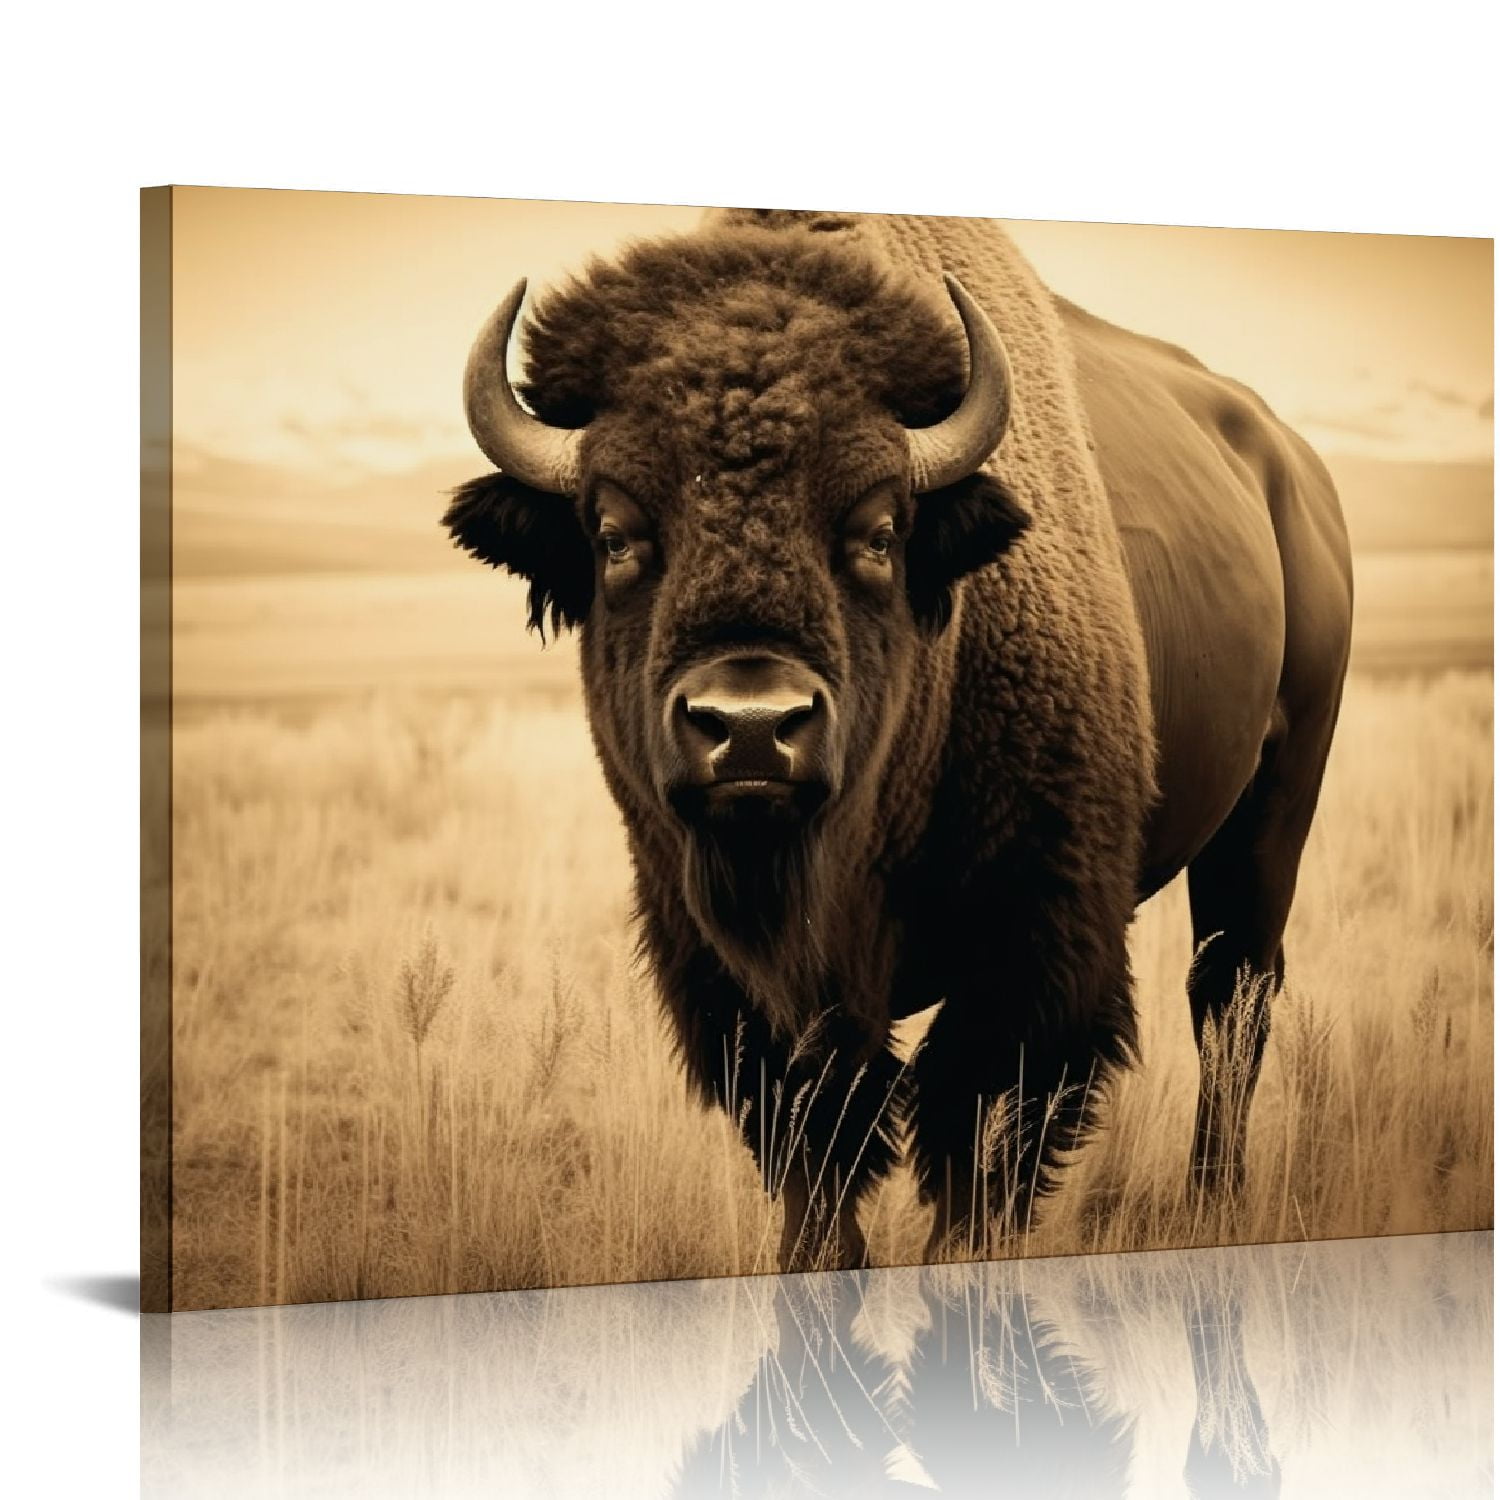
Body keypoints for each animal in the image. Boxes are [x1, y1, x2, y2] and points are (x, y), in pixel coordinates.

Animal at [446, 208, 1353, 1271]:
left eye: (879, 531)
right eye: (614, 534)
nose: (750, 729)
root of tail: (1292, 473)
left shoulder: (1036, 942)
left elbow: (975, 1126)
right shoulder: (725, 971)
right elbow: (816, 1141)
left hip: (1274, 805)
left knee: (1231, 997)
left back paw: (1213, 1203)